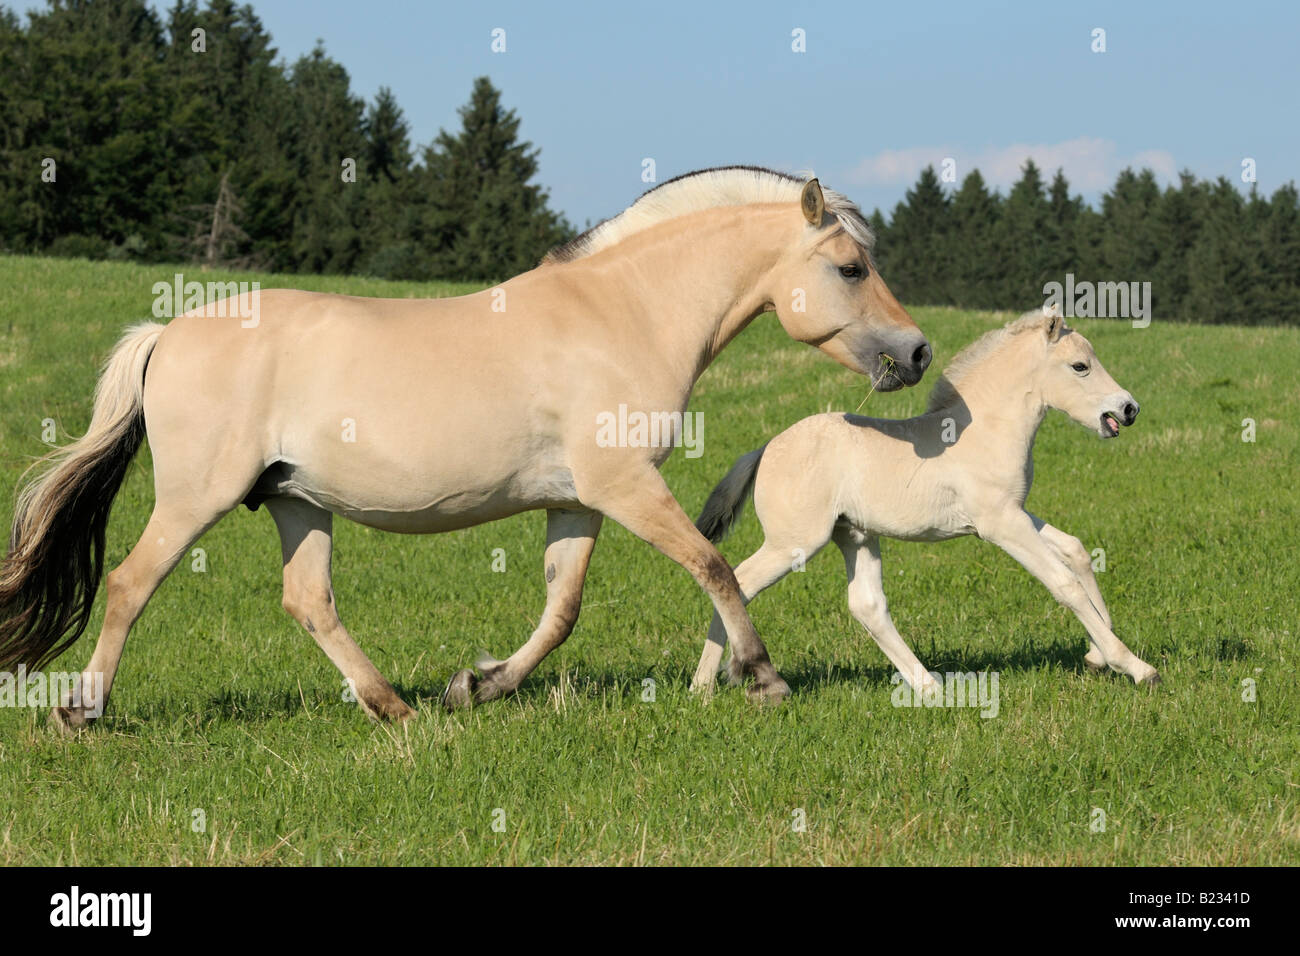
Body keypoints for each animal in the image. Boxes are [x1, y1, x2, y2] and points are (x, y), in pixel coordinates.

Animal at [0, 166, 933, 730]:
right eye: (850, 268)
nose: (918, 353)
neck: (622, 313)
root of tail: (167, 332)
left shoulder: (577, 501)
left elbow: (560, 613)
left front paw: (477, 685)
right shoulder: (625, 485)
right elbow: (714, 566)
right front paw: (763, 677)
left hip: (296, 500)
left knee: (309, 601)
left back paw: (398, 711)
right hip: (200, 497)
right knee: (131, 583)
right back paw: (81, 710)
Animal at [691, 305, 1160, 694]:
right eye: (1080, 366)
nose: (1129, 409)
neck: (983, 430)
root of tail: (765, 448)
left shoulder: (1016, 513)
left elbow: (1077, 552)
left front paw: (1097, 654)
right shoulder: (1000, 525)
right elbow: (1063, 583)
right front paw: (1135, 667)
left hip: (855, 535)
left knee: (867, 606)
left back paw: (929, 688)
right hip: (795, 542)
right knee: (738, 582)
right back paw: (706, 686)